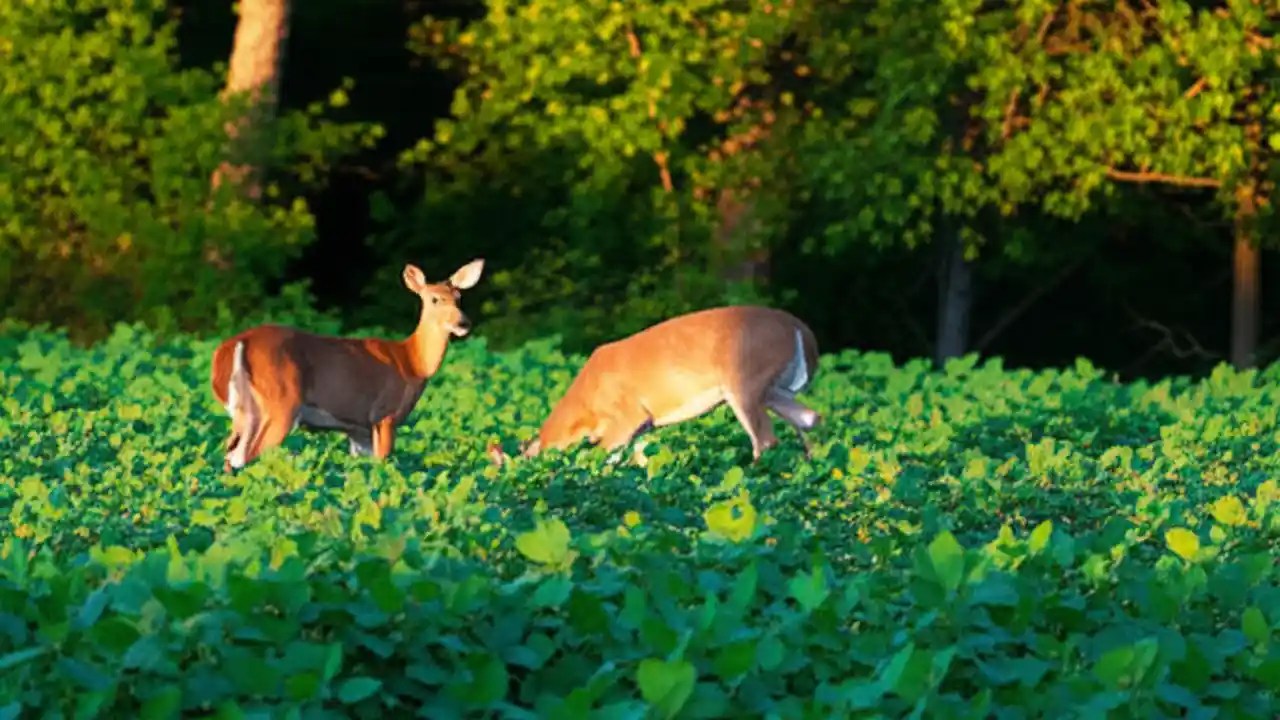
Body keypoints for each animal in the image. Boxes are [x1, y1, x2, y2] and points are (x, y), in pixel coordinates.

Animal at [209, 259, 485, 472]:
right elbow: (384, 464)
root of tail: (237, 343)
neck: (412, 361)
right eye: (435, 299)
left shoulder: (358, 430)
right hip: (279, 404)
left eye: (459, 297)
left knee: (229, 455)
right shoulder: (385, 415)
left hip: (244, 411)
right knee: (243, 456)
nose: (463, 323)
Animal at [491, 305, 821, 466]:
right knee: (810, 420)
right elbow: (635, 461)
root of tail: (802, 330)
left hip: (744, 383)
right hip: (776, 389)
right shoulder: (643, 427)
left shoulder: (627, 416)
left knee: (765, 439)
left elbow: (602, 456)